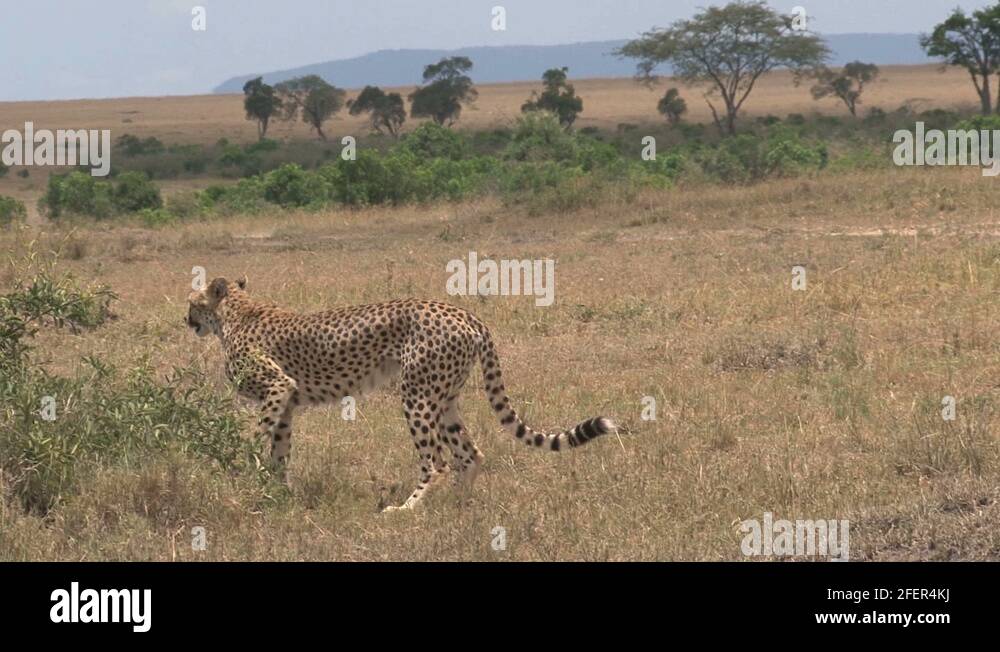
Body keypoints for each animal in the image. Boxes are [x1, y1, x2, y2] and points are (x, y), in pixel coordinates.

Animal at [186, 276, 614, 511]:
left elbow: (256, 438)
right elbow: (280, 450)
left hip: (416, 395)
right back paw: (457, 507)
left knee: (437, 462)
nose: (186, 319)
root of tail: (466, 313)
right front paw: (279, 492)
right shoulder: (286, 402)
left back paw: (407, 509)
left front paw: (248, 475)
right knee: (470, 454)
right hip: (445, 398)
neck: (236, 313)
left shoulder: (278, 387)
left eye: (192, 302)